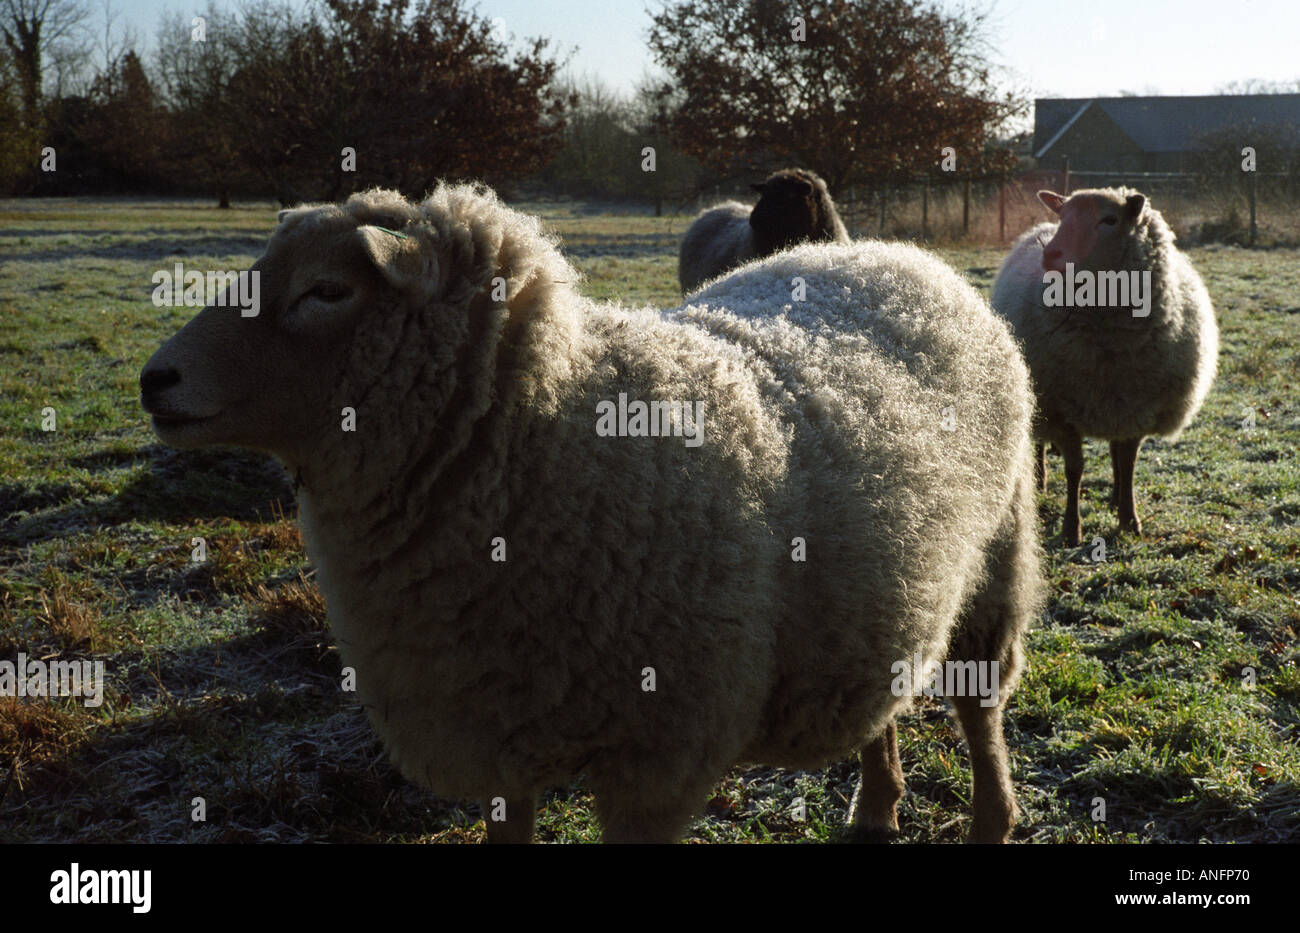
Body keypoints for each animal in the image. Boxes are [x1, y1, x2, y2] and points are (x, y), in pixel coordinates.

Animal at [140, 183, 1043, 844]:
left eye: (326, 290)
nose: (156, 380)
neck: (546, 430)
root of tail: (903, 255)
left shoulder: (658, 755)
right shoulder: (497, 737)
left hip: (996, 556)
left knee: (979, 708)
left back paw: (990, 819)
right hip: (871, 591)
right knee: (883, 701)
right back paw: (876, 807)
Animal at [991, 187, 1218, 546]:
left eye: (1109, 220)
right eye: (1063, 216)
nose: (1051, 255)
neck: (1111, 339)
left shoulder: (1138, 408)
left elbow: (1127, 464)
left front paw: (1129, 519)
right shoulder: (1061, 411)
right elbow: (1075, 469)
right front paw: (1072, 530)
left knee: (1115, 452)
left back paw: (1114, 497)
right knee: (1039, 440)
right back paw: (1040, 481)